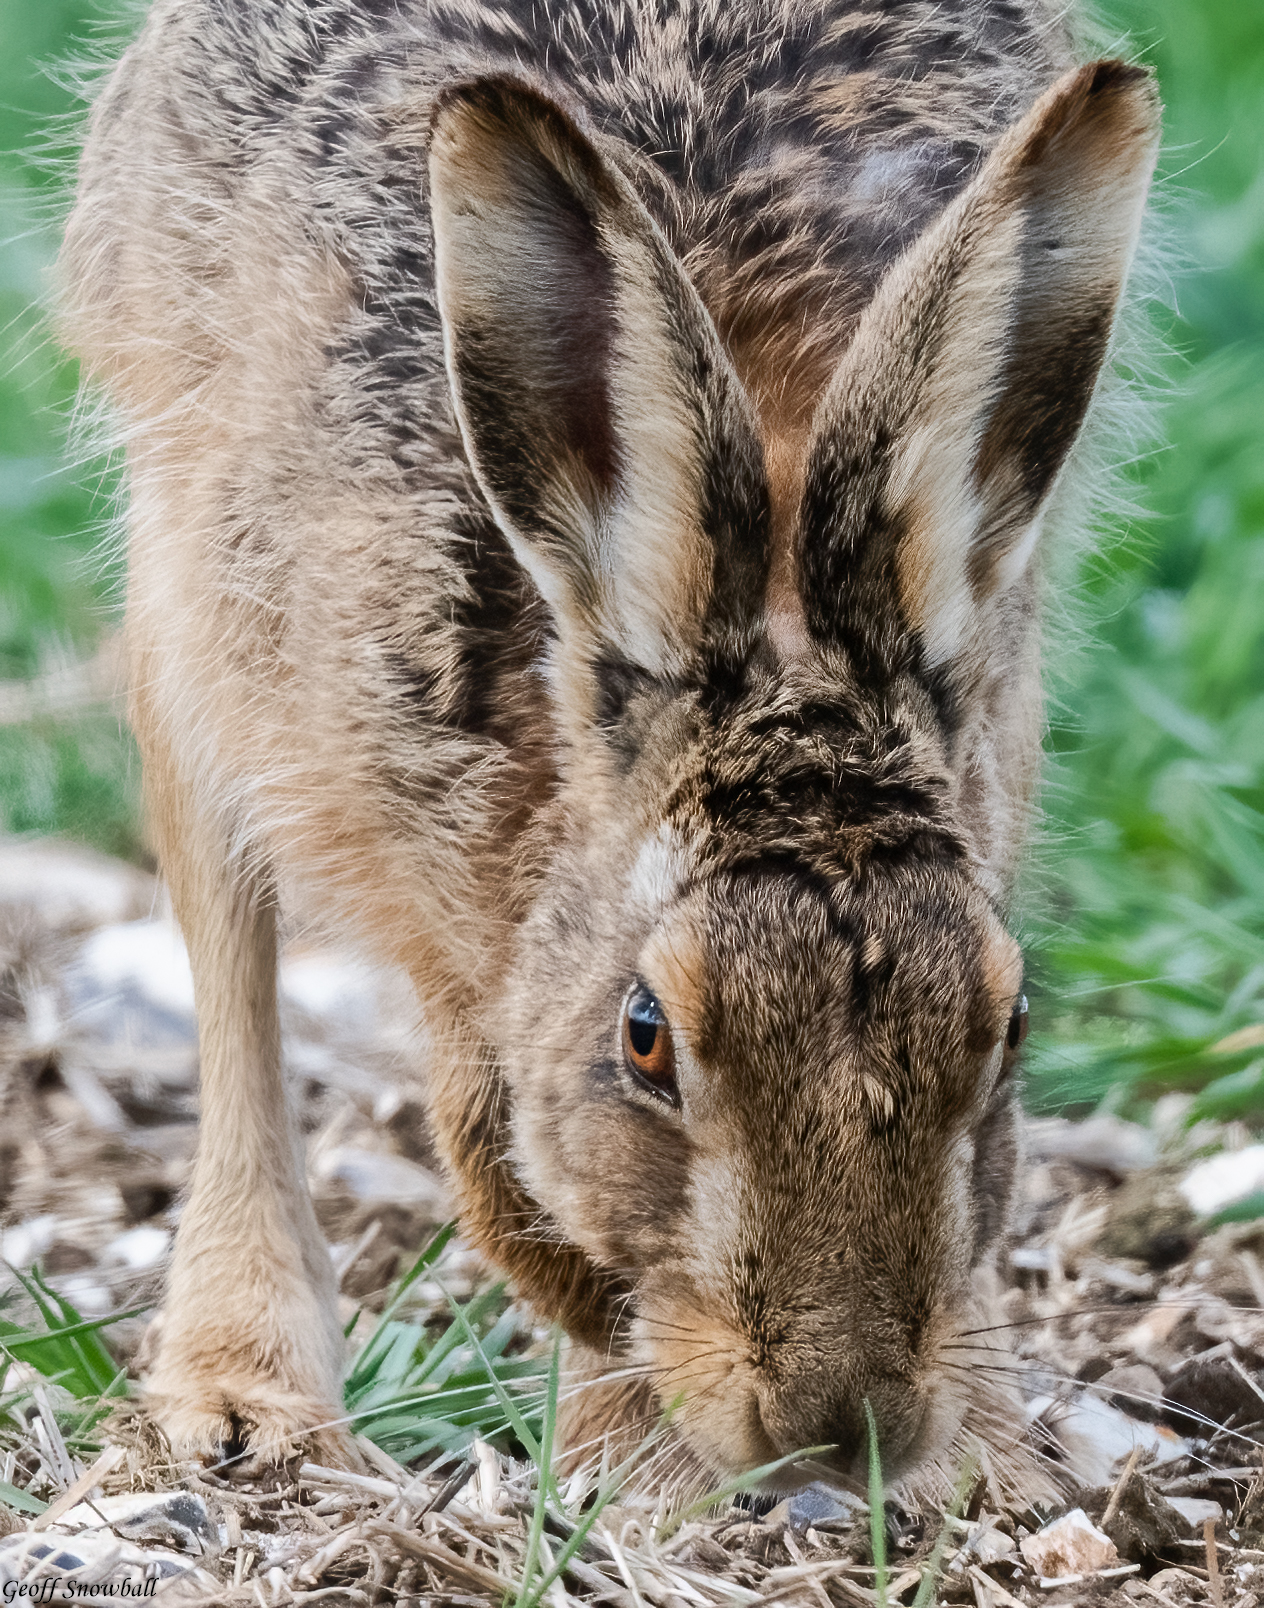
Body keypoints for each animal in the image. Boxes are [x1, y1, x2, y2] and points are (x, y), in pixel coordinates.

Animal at [58, 0, 1159, 1488]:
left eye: (1013, 1020)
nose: (841, 1426)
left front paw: (973, 1448)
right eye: (646, 1037)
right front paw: (629, 1457)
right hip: (190, 601)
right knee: (234, 992)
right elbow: (495, 1143)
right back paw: (241, 1394)